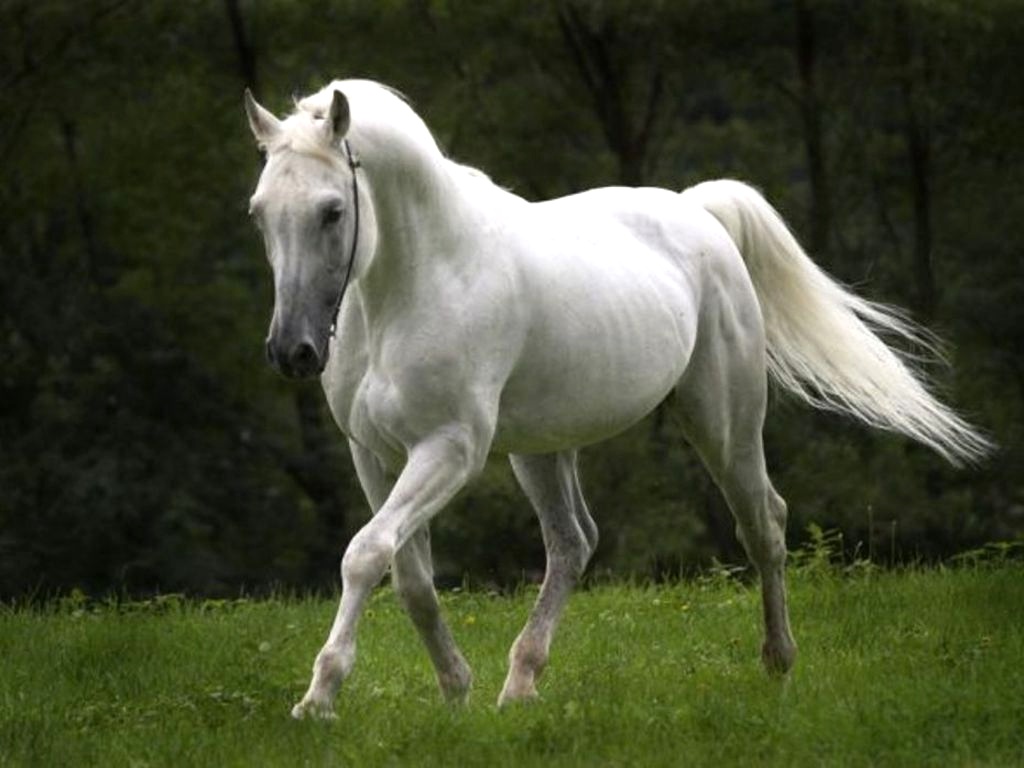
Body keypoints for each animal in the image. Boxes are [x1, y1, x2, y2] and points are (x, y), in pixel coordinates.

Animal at [242, 79, 990, 719]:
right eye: (259, 214)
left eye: (333, 211)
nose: (291, 352)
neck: (420, 280)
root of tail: (698, 212)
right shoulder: (373, 454)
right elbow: (408, 575)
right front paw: (455, 690)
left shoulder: (449, 449)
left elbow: (365, 554)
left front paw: (320, 696)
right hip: (541, 449)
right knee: (574, 543)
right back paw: (519, 686)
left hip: (722, 423)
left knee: (763, 525)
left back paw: (777, 665)